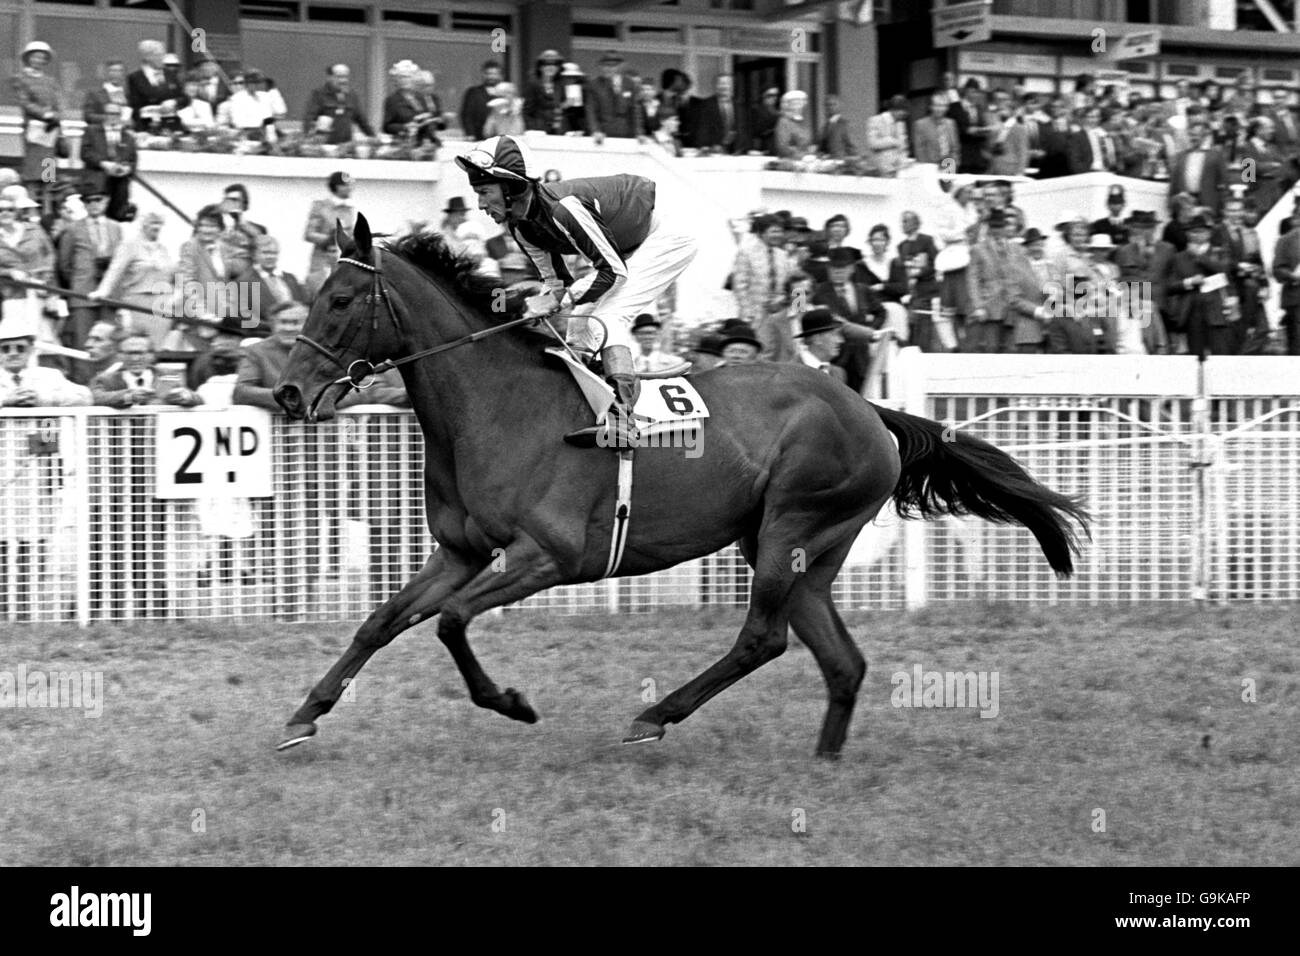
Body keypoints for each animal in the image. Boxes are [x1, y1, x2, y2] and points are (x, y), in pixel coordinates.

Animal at [271, 214, 1086, 754]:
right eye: (313, 294)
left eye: (340, 300)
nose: (285, 392)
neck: (497, 405)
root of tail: (868, 409)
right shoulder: (461, 552)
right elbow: (381, 622)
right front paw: (305, 713)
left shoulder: (548, 556)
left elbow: (449, 622)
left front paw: (511, 702)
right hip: (803, 548)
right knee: (840, 659)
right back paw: (824, 761)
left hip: (792, 524)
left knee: (763, 638)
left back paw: (655, 716)